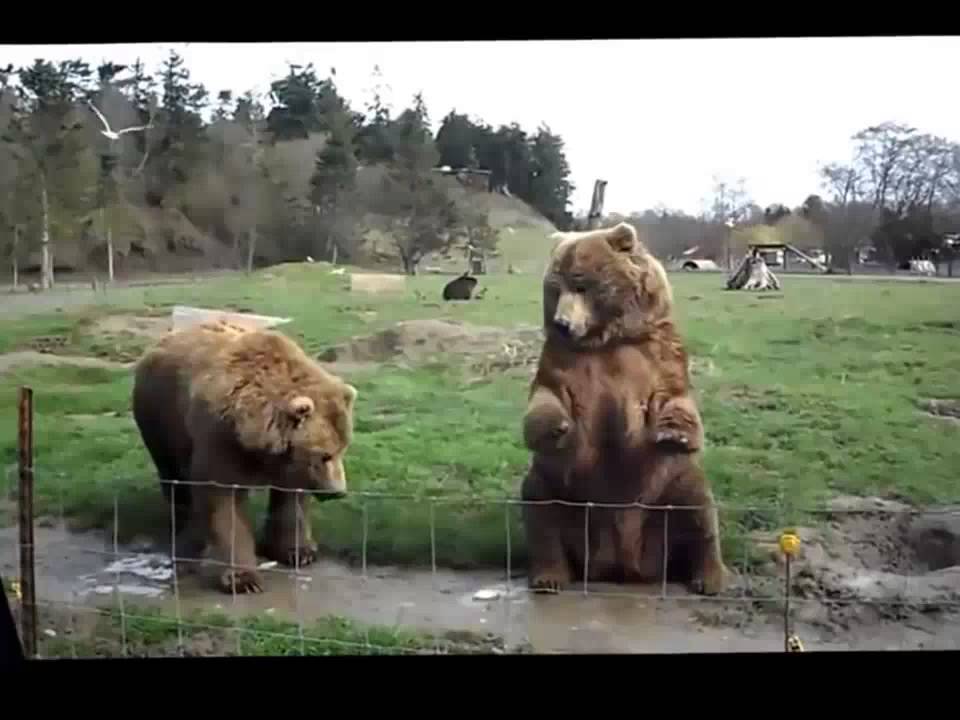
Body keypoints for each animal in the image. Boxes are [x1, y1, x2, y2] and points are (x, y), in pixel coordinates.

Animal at [131, 318, 358, 594]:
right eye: (324, 455)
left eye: (343, 447)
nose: (337, 491)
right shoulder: (220, 441)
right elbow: (223, 502)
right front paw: (244, 579)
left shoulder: (288, 466)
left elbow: (291, 501)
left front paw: (299, 552)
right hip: (160, 418)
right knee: (174, 477)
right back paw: (186, 530)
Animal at [520, 221, 728, 596]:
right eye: (554, 288)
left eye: (581, 283)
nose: (561, 323)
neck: (607, 339)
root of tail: (621, 564)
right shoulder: (563, 360)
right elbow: (547, 395)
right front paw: (555, 427)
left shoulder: (657, 354)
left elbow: (674, 397)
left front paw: (673, 431)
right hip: (561, 487)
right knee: (540, 509)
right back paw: (549, 576)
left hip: (669, 487)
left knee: (699, 510)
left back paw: (708, 578)